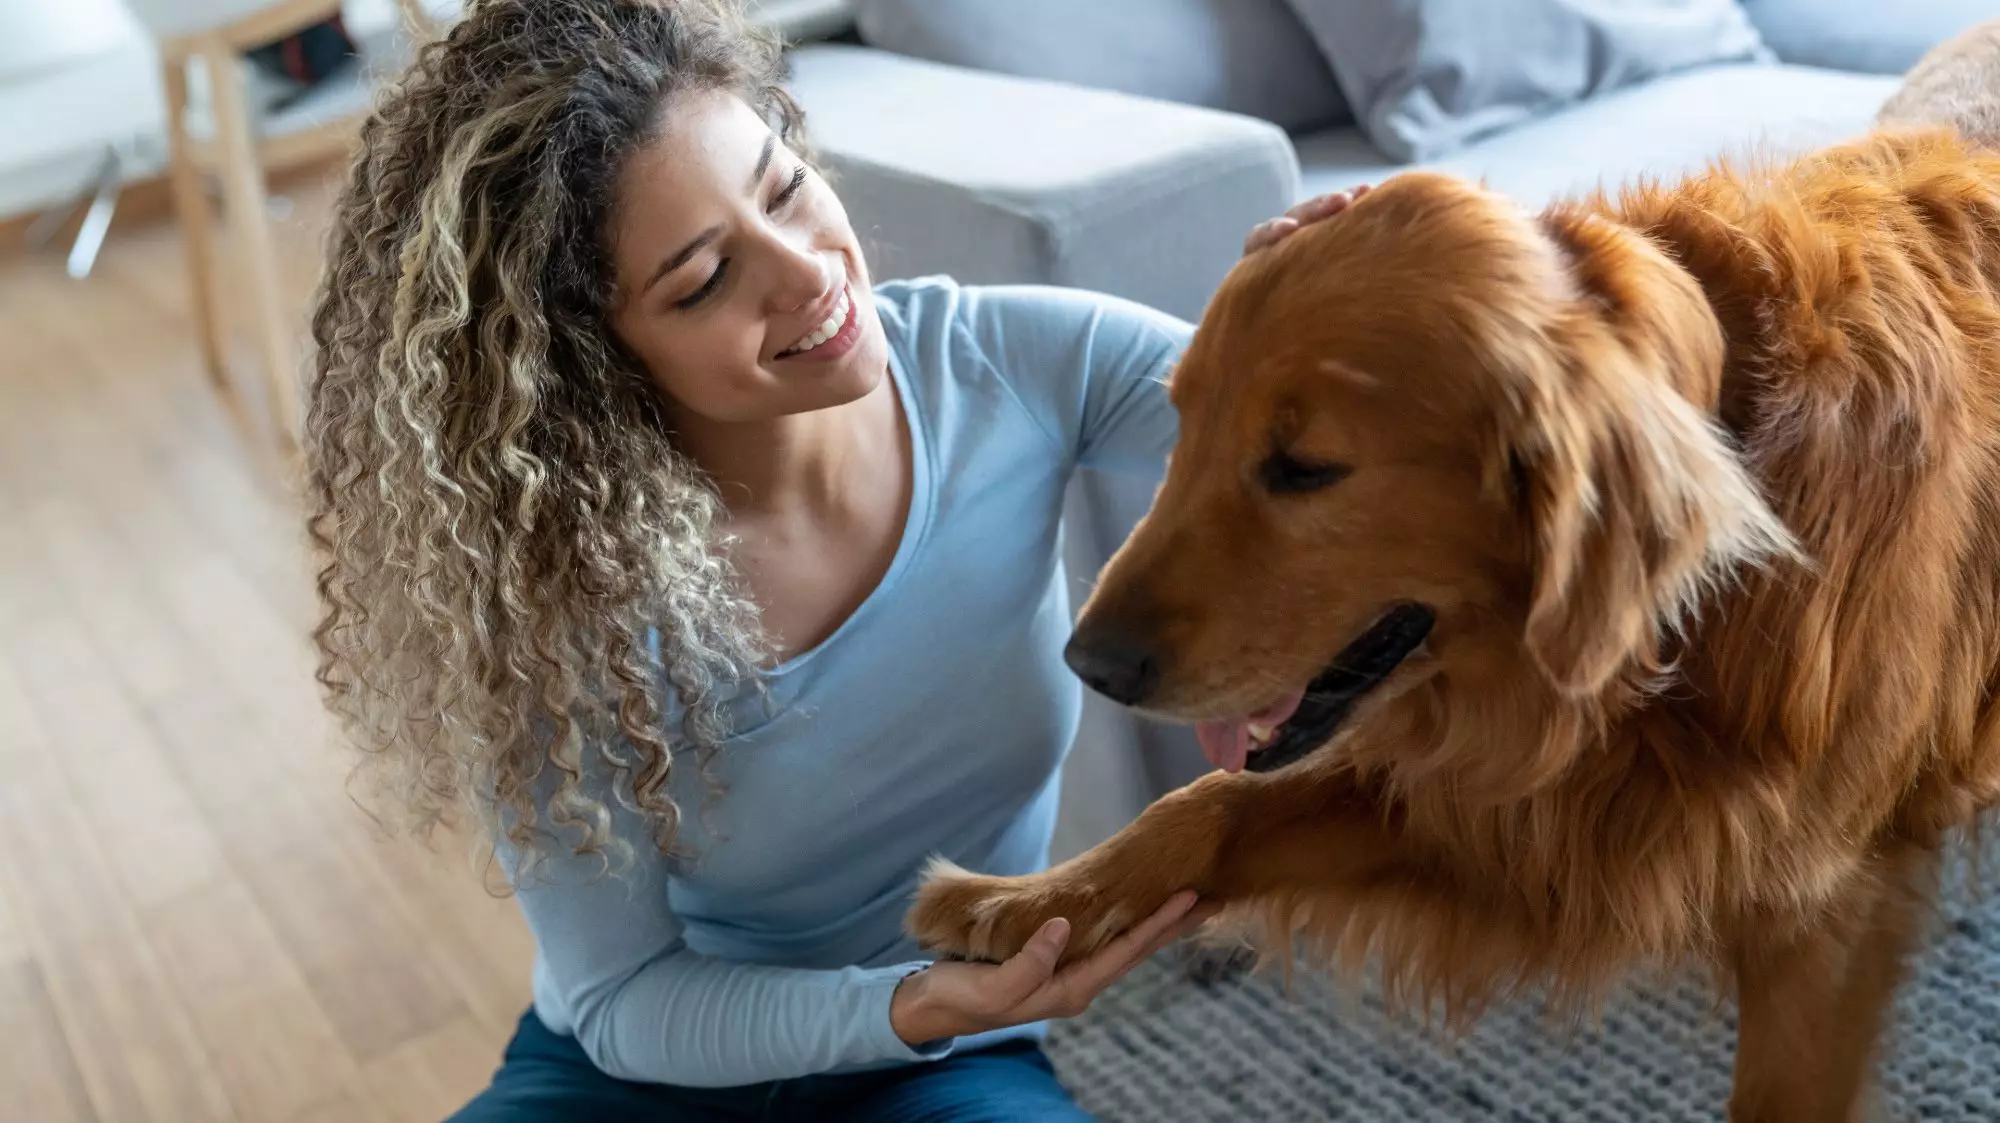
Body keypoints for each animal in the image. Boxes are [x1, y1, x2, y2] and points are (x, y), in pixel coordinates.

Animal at [916, 19, 2000, 1119]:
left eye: (1304, 466)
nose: (1088, 664)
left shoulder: (1826, 912)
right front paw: (1036, 899)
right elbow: (1214, 803)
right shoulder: (1496, 806)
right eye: (1180, 422)